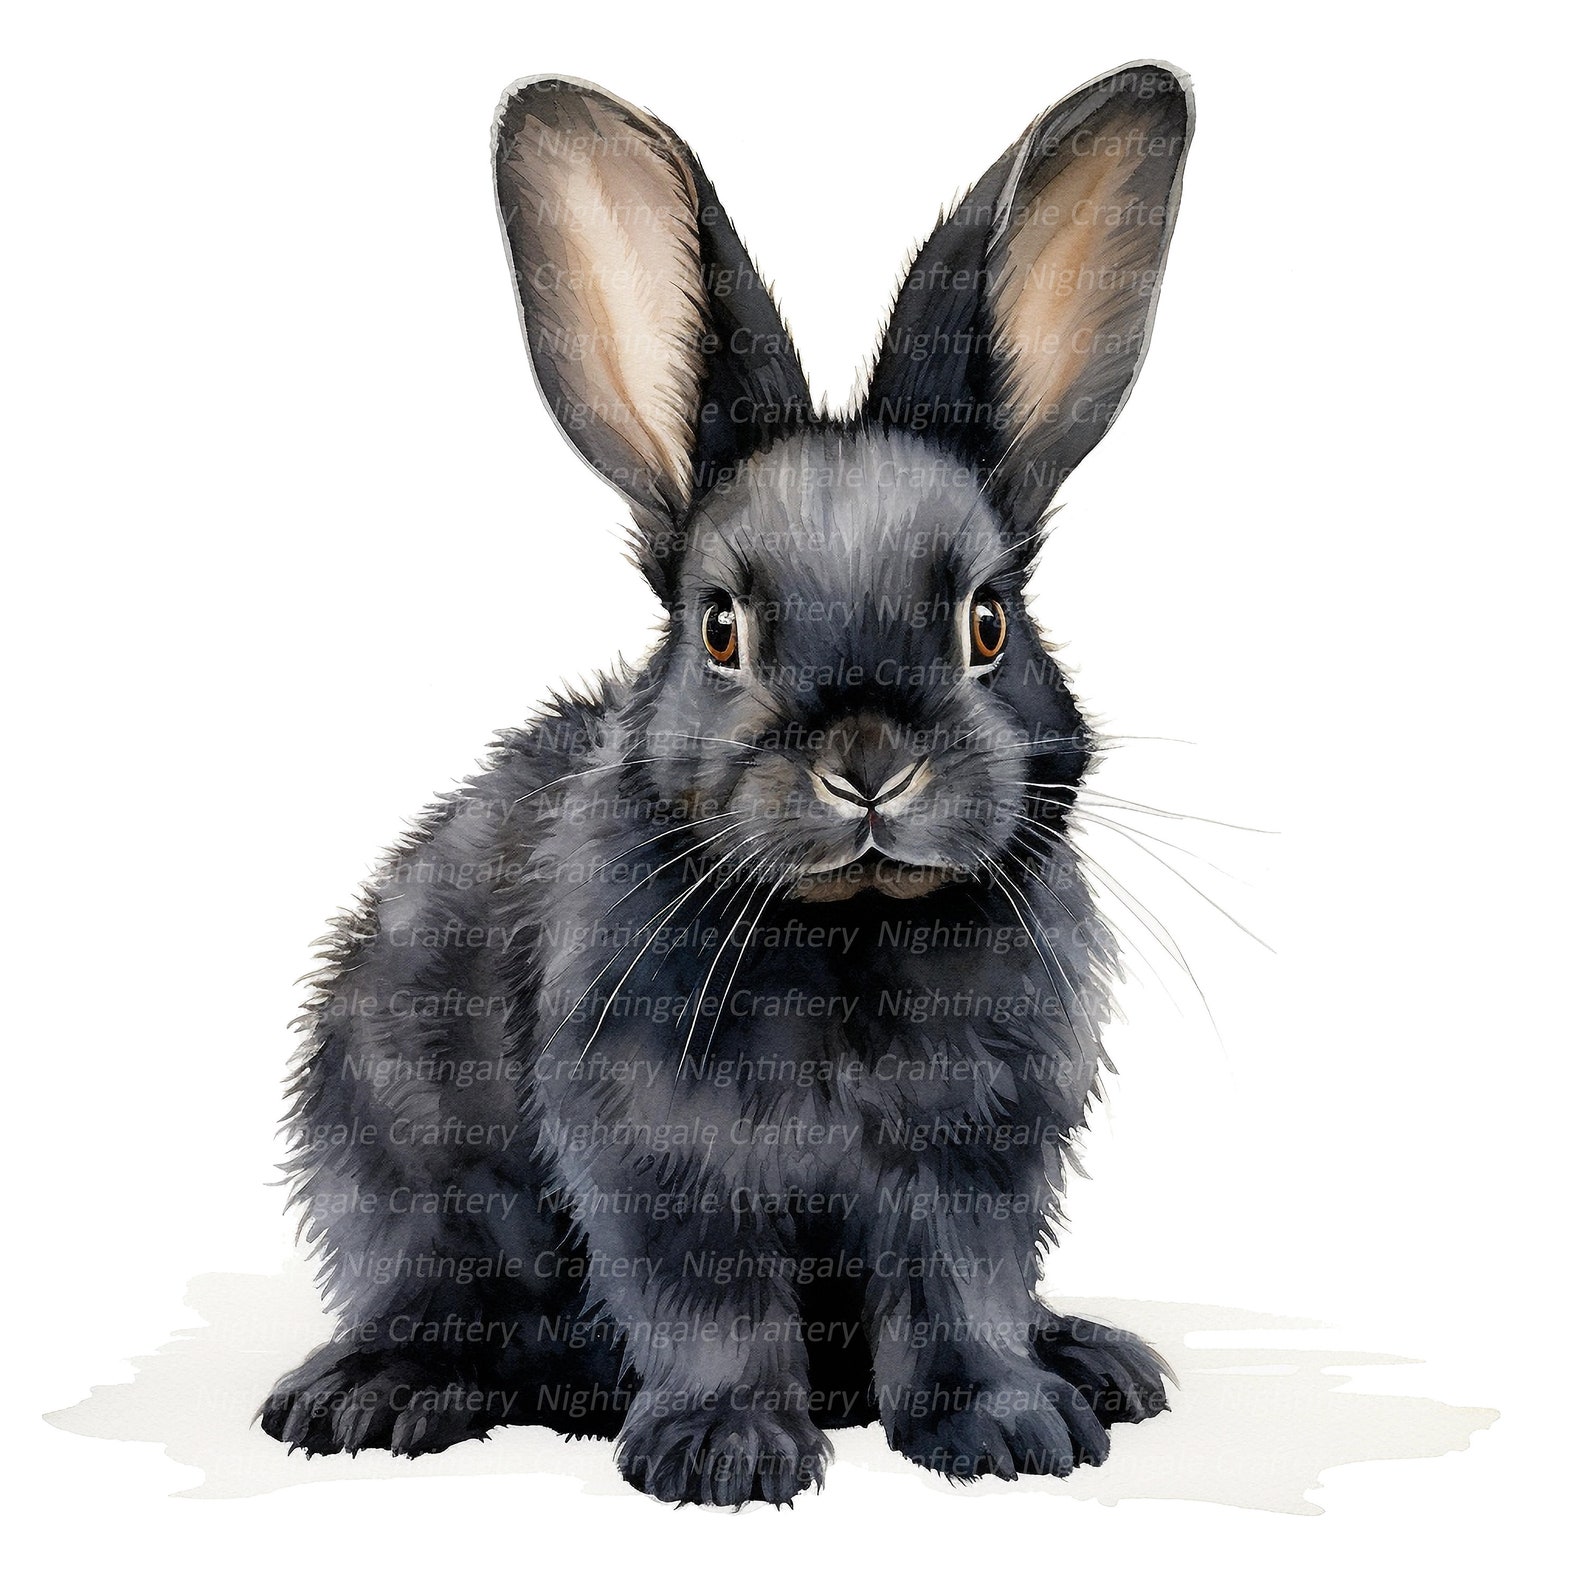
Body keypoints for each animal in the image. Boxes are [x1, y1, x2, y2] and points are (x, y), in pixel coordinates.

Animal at [260, 60, 1193, 1507]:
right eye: (720, 629)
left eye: (987, 623)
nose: (867, 764)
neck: (850, 933)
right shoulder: (663, 1155)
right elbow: (710, 1300)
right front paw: (724, 1454)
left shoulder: (975, 1162)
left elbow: (964, 1294)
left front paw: (1008, 1431)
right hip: (388, 1151)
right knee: (437, 1297)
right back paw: (375, 1392)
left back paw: (1092, 1360)